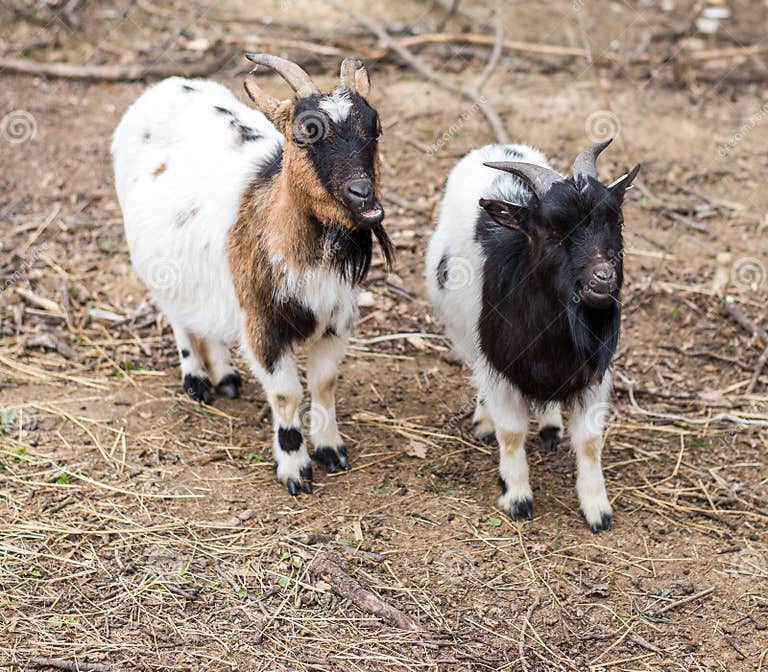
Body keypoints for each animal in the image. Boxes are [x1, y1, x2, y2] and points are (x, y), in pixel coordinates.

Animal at [112, 54, 393, 495]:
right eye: (304, 133)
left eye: (375, 126)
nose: (363, 196)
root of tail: (166, 85)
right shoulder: (262, 325)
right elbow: (287, 395)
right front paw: (295, 469)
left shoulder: (335, 320)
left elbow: (324, 383)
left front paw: (331, 449)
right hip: (159, 267)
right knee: (178, 317)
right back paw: (197, 380)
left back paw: (226, 376)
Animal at [426, 140, 639, 531]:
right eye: (552, 233)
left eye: (616, 220)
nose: (604, 278)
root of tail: (498, 146)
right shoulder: (499, 366)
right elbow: (510, 433)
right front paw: (517, 497)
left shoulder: (593, 372)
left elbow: (589, 440)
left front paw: (597, 509)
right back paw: (484, 420)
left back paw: (551, 425)